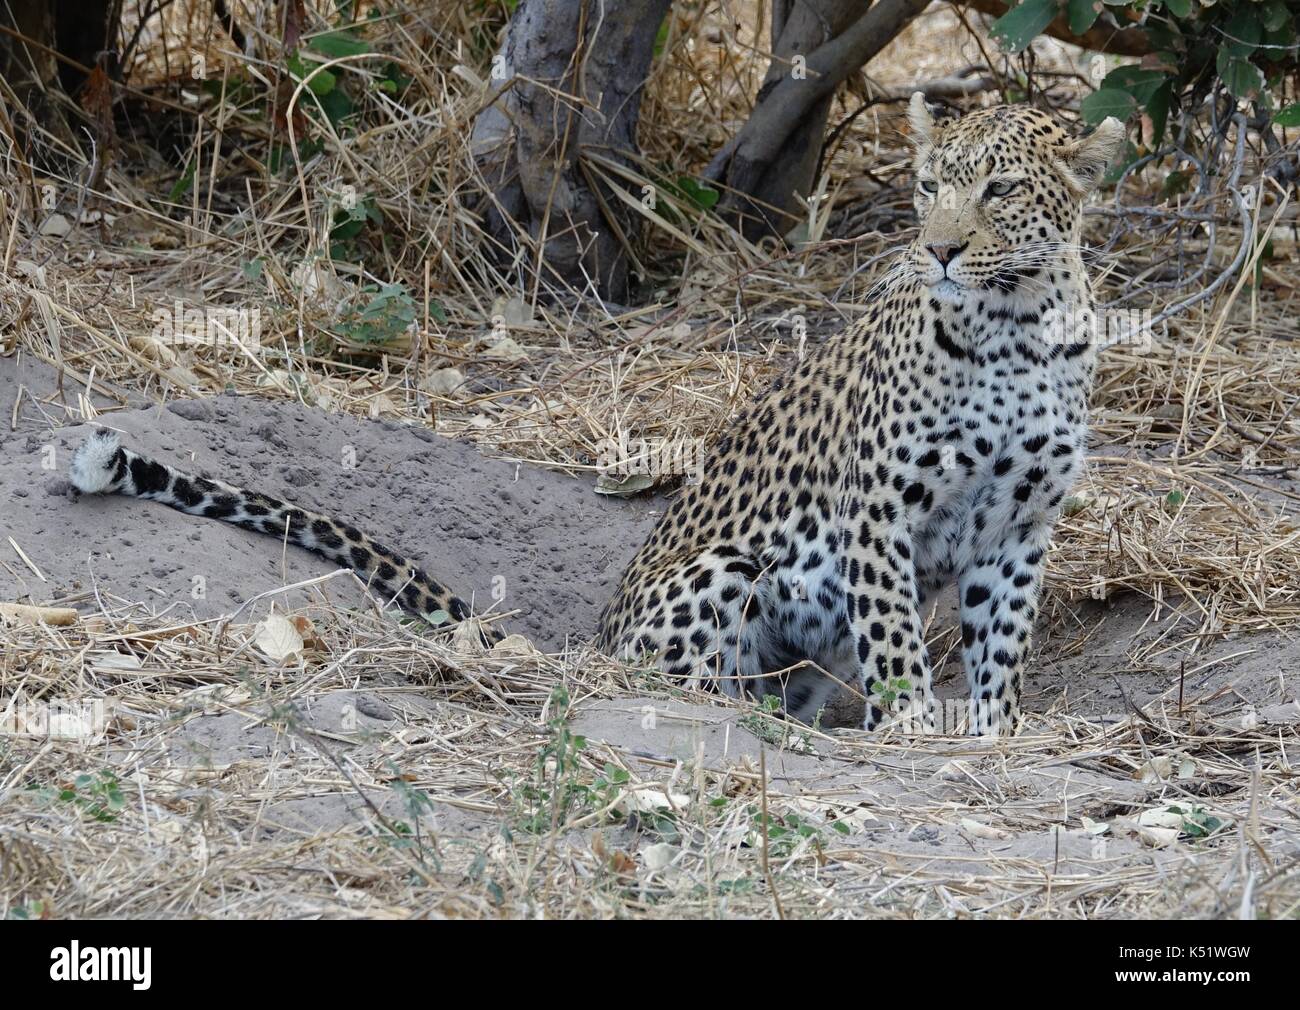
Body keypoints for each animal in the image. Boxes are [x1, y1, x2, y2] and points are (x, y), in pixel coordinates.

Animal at [70, 95, 1125, 736]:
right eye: (930, 185)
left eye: (1001, 188)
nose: (940, 249)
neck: (1018, 328)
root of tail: (598, 639)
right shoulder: (879, 510)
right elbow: (899, 636)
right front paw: (910, 726)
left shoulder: (1023, 525)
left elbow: (1004, 642)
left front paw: (990, 733)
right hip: (723, 568)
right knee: (684, 682)